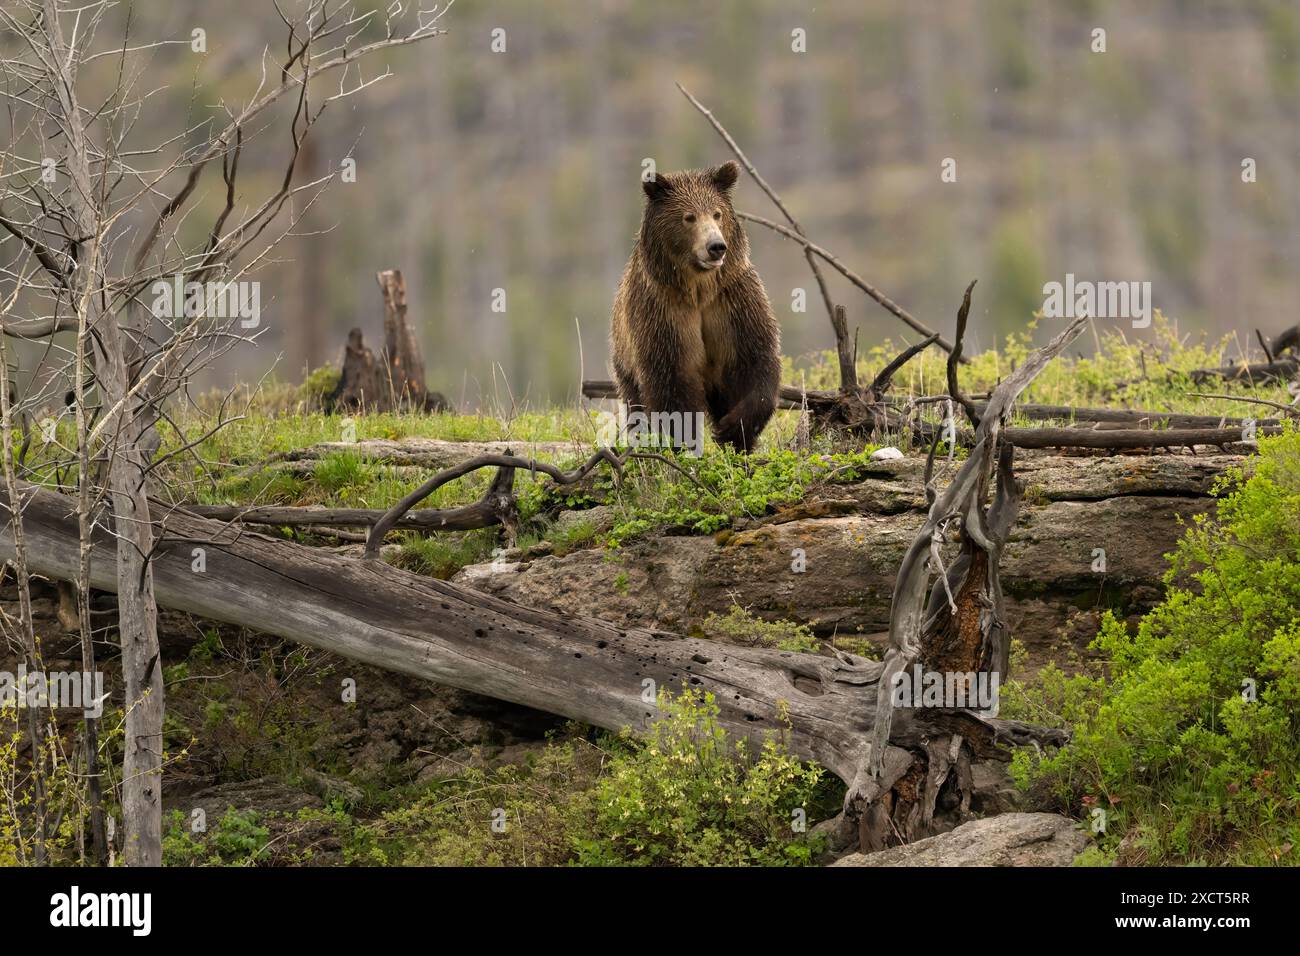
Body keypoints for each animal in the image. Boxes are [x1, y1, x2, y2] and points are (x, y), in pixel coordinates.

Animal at [609, 160, 781, 454]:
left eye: (717, 213)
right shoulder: (663, 312)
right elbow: (672, 379)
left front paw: (733, 430)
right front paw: (685, 440)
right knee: (635, 402)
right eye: (689, 217)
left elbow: (755, 361)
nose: (716, 246)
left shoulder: (732, 304)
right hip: (624, 357)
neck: (698, 289)